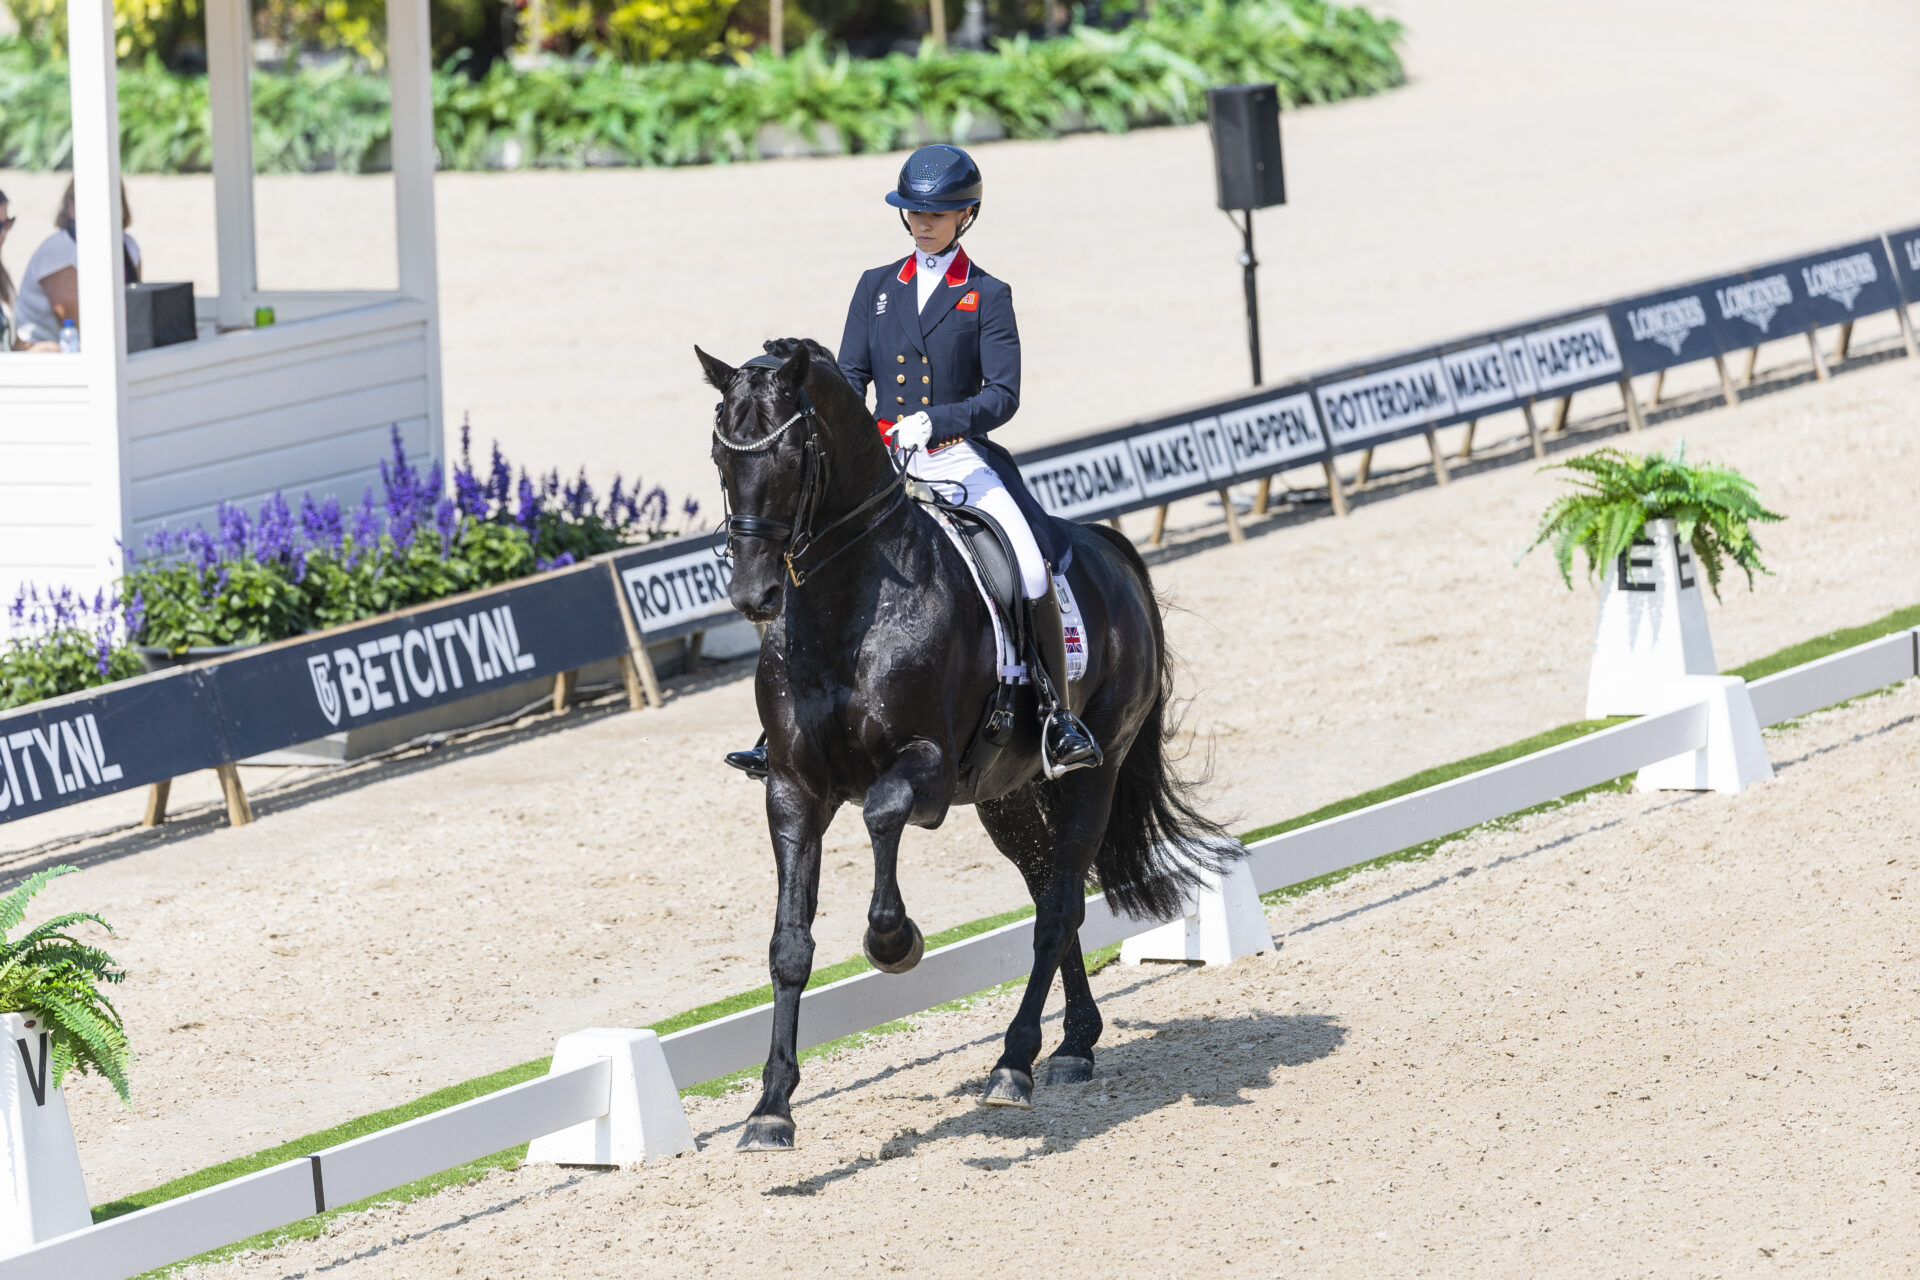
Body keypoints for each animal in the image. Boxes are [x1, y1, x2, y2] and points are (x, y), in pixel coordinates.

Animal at [696, 338, 1232, 1150]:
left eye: (792, 454)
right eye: (723, 454)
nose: (754, 596)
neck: (846, 607)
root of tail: (1109, 550)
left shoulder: (929, 770)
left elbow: (881, 813)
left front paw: (894, 943)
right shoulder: (791, 786)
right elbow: (788, 945)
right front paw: (770, 1109)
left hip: (1089, 774)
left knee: (1057, 908)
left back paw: (1014, 1065)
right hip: (1008, 797)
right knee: (1051, 895)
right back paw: (1073, 1046)